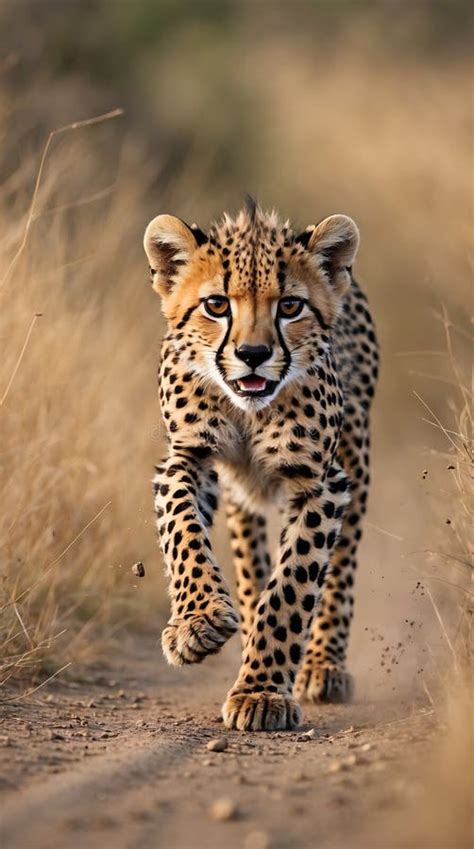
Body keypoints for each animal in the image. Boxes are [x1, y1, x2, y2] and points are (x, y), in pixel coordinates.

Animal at [143, 196, 378, 731]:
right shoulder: (188, 457)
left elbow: (294, 586)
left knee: (340, 567)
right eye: (216, 305)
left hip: (355, 457)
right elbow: (182, 532)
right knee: (249, 558)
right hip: (240, 492)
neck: (250, 411)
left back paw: (322, 665)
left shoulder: (321, 481)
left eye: (290, 306)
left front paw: (261, 692)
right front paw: (197, 623)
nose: (253, 354)